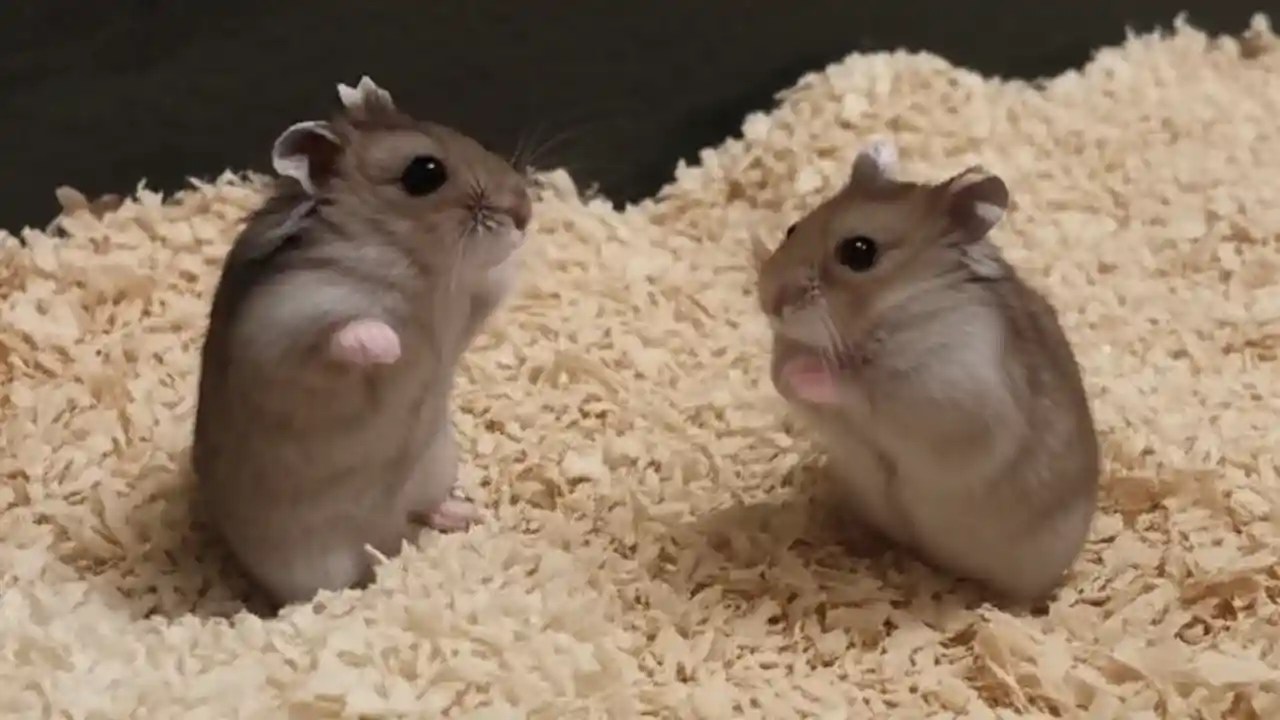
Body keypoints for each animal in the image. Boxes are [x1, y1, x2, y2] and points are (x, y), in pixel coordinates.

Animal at [192, 76, 532, 608]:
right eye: (424, 173)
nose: (526, 213)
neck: (422, 269)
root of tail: (385, 536)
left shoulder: (469, 304)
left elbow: (495, 284)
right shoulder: (282, 330)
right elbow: (348, 332)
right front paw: (391, 345)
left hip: (438, 466)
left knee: (423, 509)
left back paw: (463, 514)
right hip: (314, 564)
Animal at [756, 140, 1099, 603]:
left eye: (859, 252)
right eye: (792, 228)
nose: (771, 303)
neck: (892, 309)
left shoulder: (945, 394)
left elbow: (860, 387)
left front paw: (802, 370)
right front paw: (781, 367)